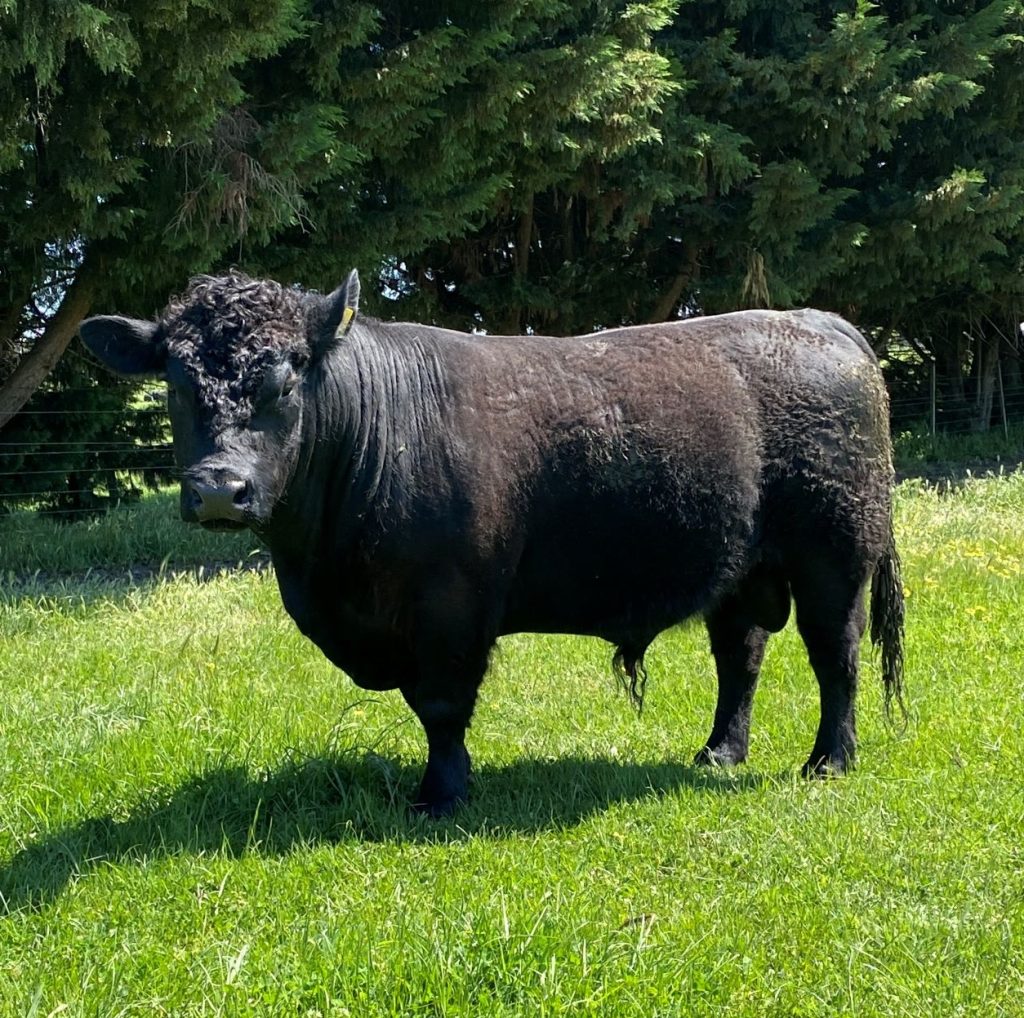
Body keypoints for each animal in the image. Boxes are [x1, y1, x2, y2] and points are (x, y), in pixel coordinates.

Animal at [80, 270, 905, 817]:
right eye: (175, 385)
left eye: (285, 382)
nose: (222, 488)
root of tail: (821, 323)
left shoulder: (451, 605)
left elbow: (441, 704)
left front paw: (442, 795)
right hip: (739, 569)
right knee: (741, 658)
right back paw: (718, 753)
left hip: (836, 556)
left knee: (836, 657)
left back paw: (828, 761)